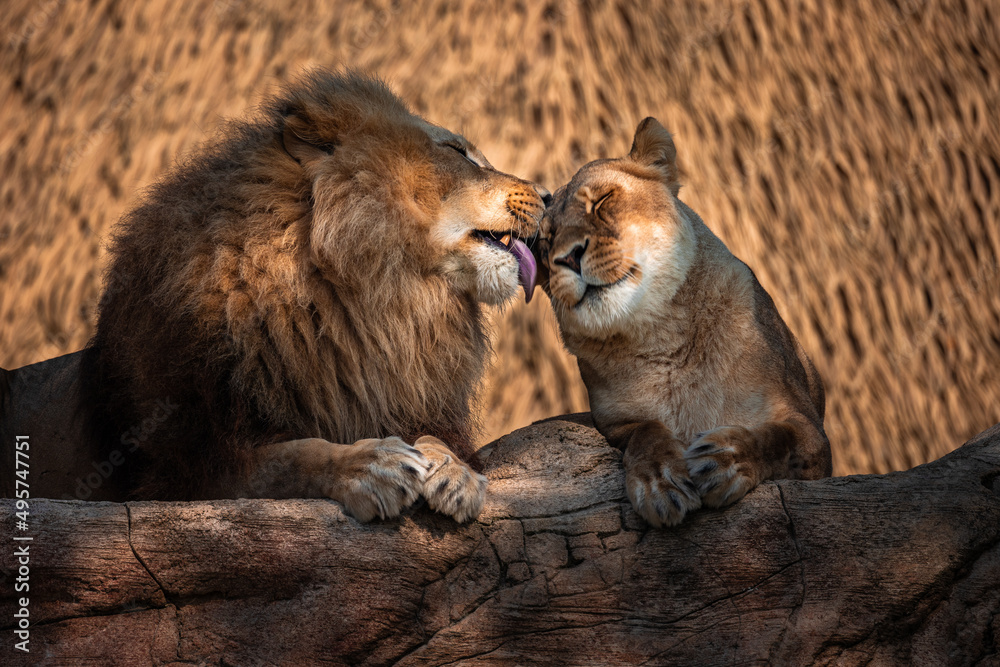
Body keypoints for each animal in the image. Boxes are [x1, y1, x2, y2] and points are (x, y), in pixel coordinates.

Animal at [79, 70, 548, 522]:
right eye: (456, 151)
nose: (548, 196)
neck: (376, 303)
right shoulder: (191, 468)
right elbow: (294, 455)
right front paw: (371, 465)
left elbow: (433, 436)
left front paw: (454, 471)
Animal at [538, 117, 832, 527]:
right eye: (545, 241)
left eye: (602, 200)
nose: (566, 257)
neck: (660, 338)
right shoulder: (612, 425)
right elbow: (647, 431)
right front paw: (661, 485)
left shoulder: (810, 431)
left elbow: (776, 439)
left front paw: (724, 460)